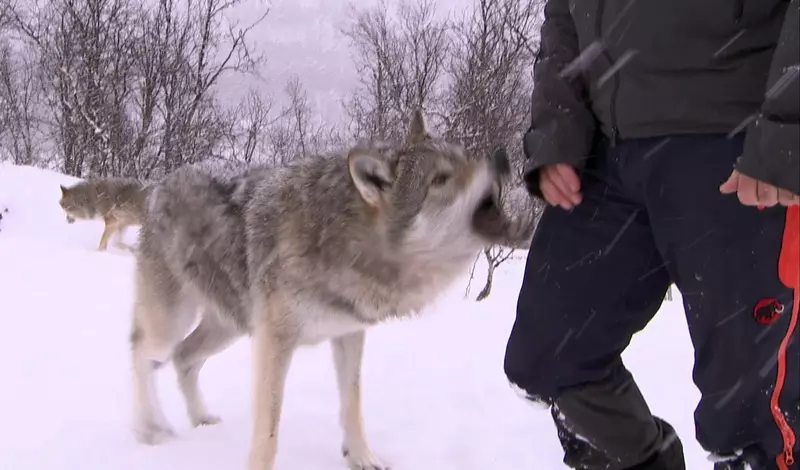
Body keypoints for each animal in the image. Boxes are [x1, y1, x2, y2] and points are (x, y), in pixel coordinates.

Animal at [130, 111, 528, 470]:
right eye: (440, 179)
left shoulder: (349, 334)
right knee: (141, 349)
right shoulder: (275, 341)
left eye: (466, 158)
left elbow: (352, 405)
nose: (500, 159)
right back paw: (150, 429)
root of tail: (160, 184)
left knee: (183, 357)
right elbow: (268, 428)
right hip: (175, 323)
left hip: (229, 325)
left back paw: (200, 420)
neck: (345, 240)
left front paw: (363, 459)